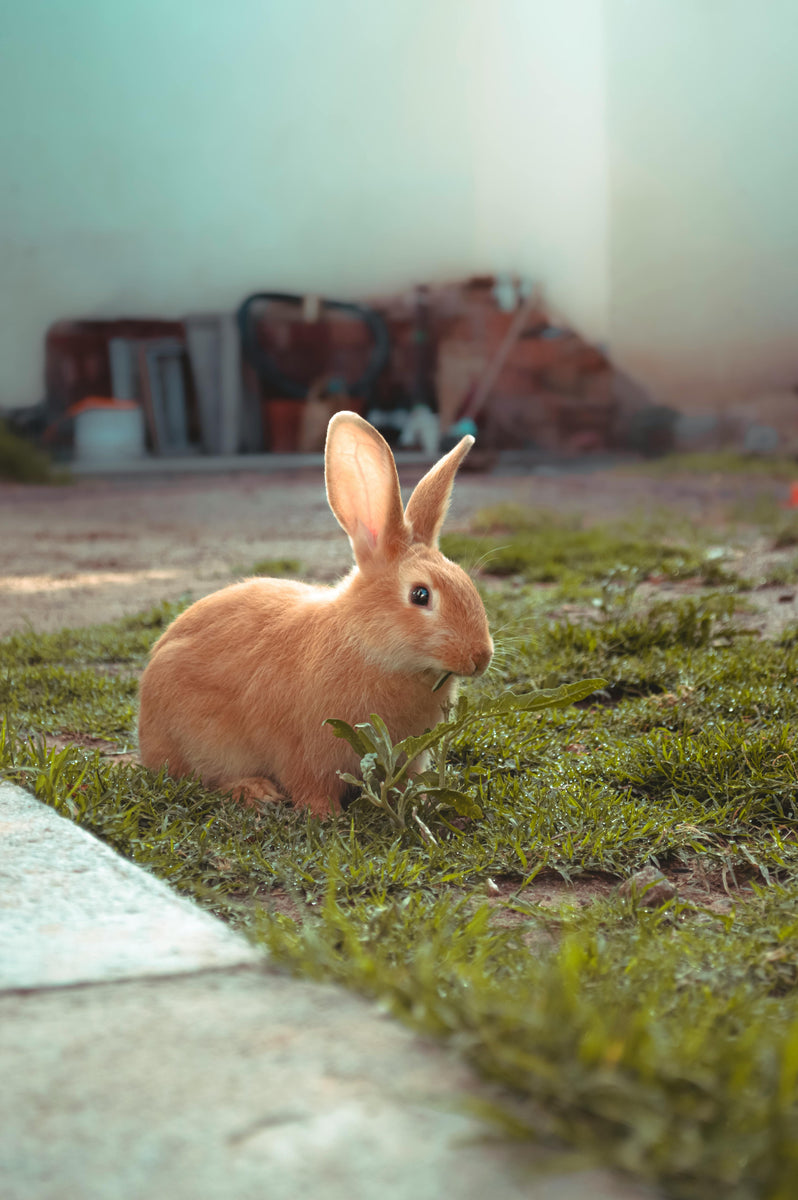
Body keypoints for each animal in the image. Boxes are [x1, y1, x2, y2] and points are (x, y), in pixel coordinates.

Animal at [137, 411, 493, 816]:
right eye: (421, 595)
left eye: (465, 580)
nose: (481, 657)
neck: (369, 648)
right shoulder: (305, 750)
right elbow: (310, 785)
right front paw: (327, 816)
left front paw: (417, 803)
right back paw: (254, 790)